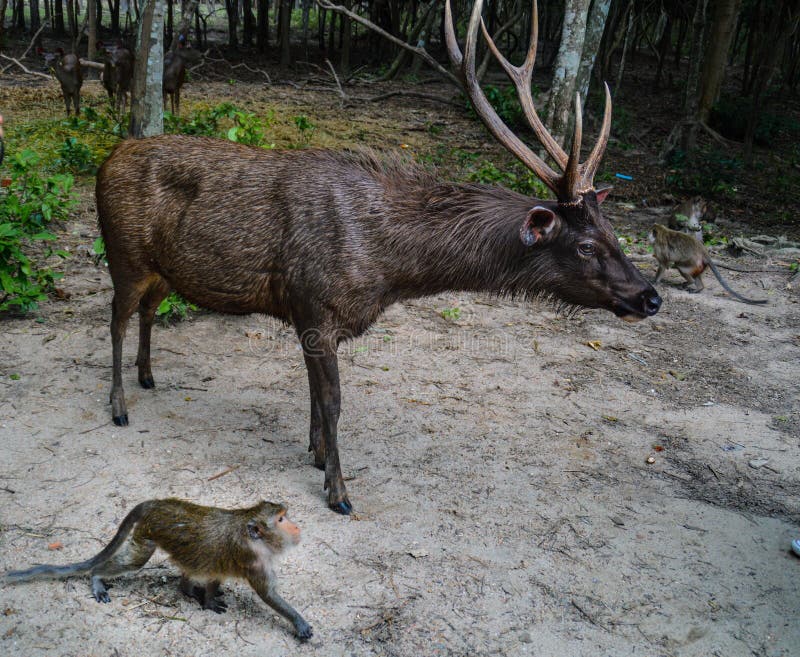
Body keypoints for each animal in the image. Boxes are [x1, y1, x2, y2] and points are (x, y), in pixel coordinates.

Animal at [3, 499, 313, 641]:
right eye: (281, 520)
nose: (297, 527)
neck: (249, 531)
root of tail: (159, 502)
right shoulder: (252, 560)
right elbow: (268, 595)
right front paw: (298, 622)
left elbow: (216, 573)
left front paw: (208, 599)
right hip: (150, 532)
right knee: (136, 560)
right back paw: (97, 577)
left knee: (200, 563)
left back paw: (187, 589)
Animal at [96, 0, 661, 515]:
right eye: (586, 245)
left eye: (614, 232)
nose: (651, 297)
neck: (388, 269)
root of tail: (107, 158)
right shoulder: (316, 305)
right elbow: (332, 402)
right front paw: (339, 492)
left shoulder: (309, 316)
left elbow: (314, 398)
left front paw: (316, 456)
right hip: (123, 253)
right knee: (116, 317)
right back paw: (119, 407)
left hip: (163, 271)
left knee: (147, 312)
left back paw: (149, 377)